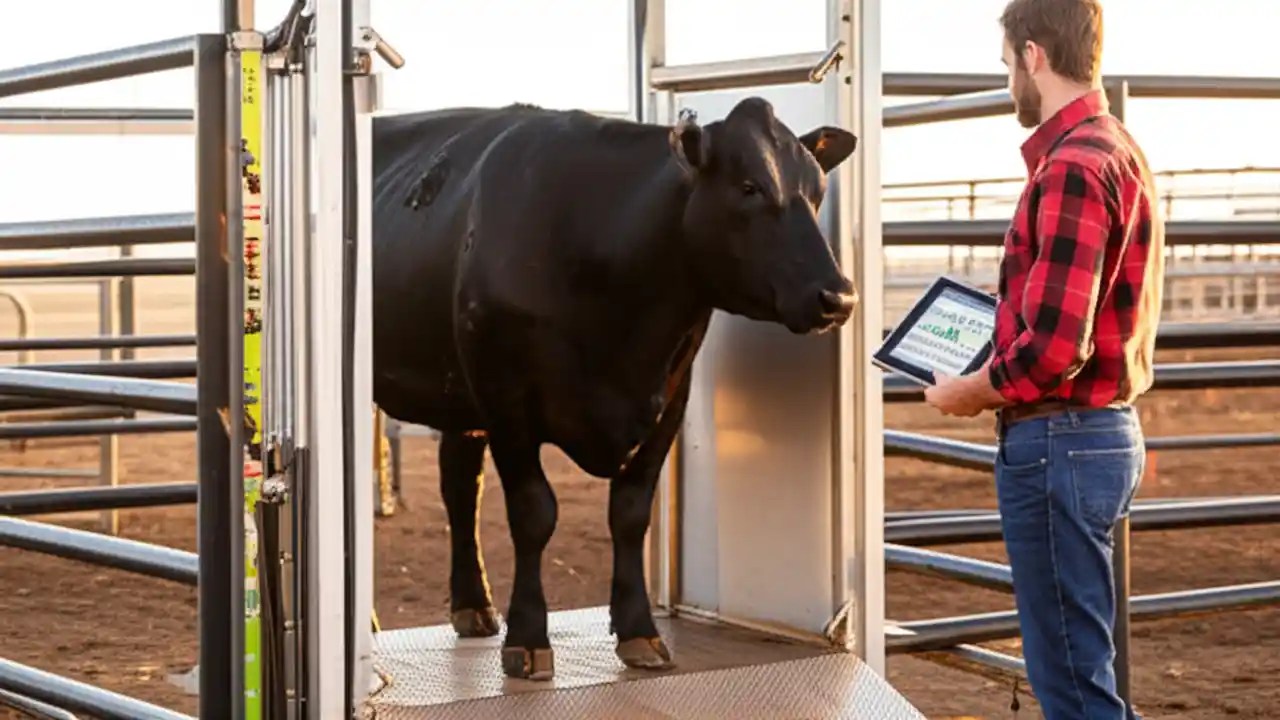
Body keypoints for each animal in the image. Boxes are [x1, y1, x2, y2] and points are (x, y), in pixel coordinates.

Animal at [371, 96, 859, 681]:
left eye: (818, 190)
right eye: (749, 186)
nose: (838, 296)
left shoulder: (669, 396)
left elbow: (629, 513)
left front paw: (640, 633)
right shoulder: (507, 399)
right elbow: (534, 513)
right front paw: (528, 638)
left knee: (460, 485)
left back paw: (473, 606)